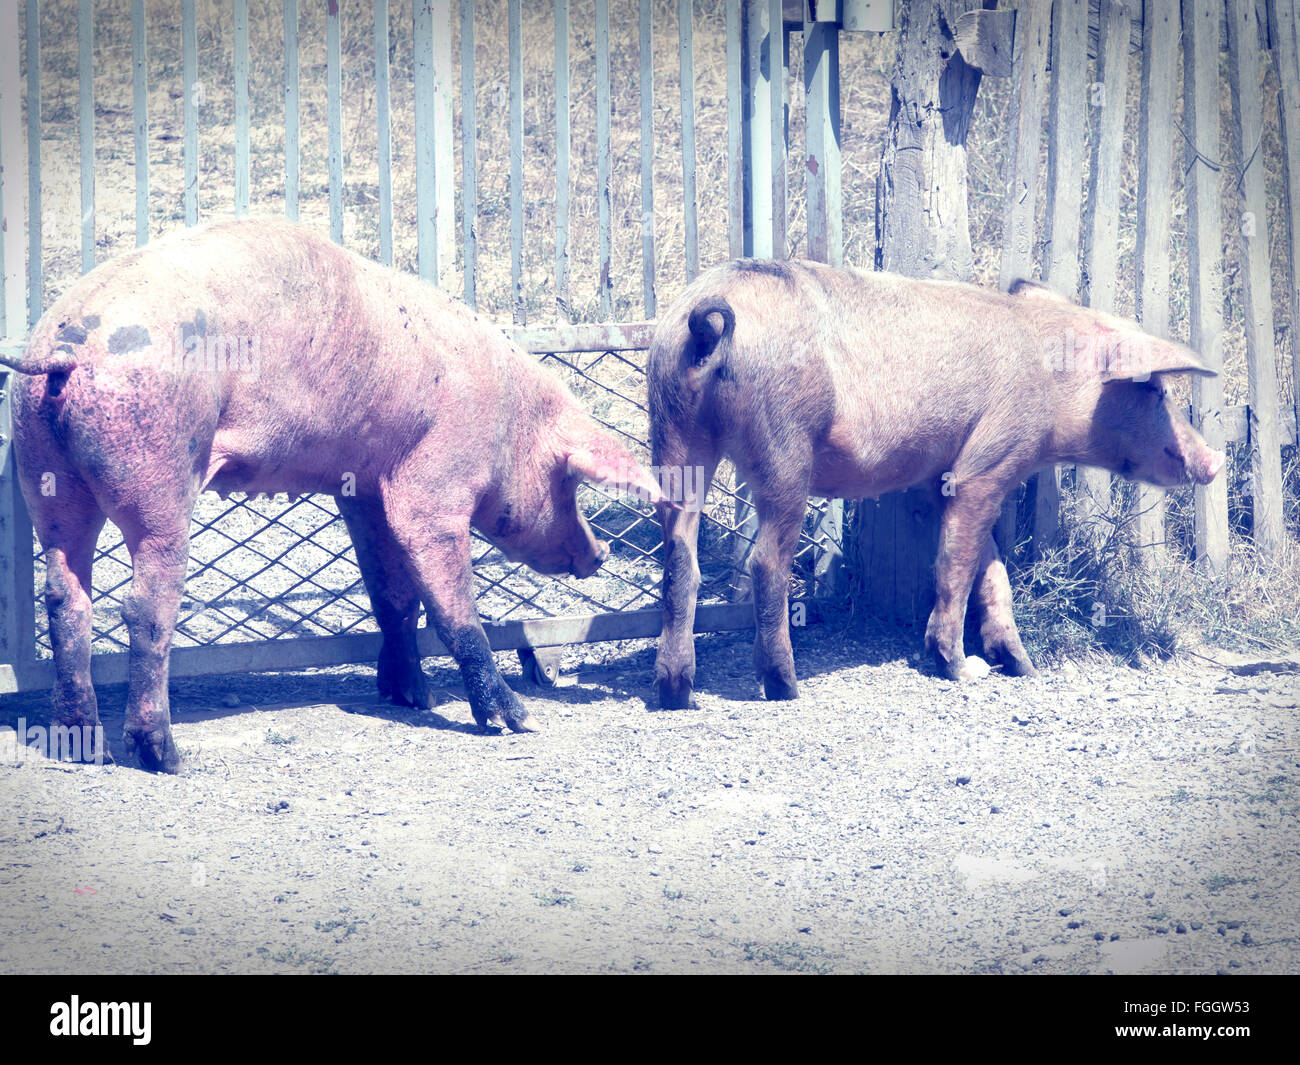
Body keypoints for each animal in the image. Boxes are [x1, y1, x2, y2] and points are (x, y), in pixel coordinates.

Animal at [0, 218, 665, 772]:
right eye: (569, 482)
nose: (602, 552)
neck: (507, 421)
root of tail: (65, 351)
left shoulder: (364, 490)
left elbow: (392, 595)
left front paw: (412, 698)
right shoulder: (433, 483)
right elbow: (451, 605)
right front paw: (516, 723)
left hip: (43, 473)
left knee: (64, 597)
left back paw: (82, 748)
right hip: (158, 472)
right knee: (142, 607)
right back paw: (165, 757)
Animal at [648, 260, 1225, 709]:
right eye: (1153, 390)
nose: (1214, 461)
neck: (1054, 378)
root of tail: (706, 322)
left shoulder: (940, 473)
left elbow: (989, 566)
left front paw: (1021, 667)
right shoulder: (992, 458)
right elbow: (957, 567)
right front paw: (962, 668)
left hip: (673, 432)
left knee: (678, 557)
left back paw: (676, 693)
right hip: (785, 443)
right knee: (766, 561)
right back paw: (785, 687)